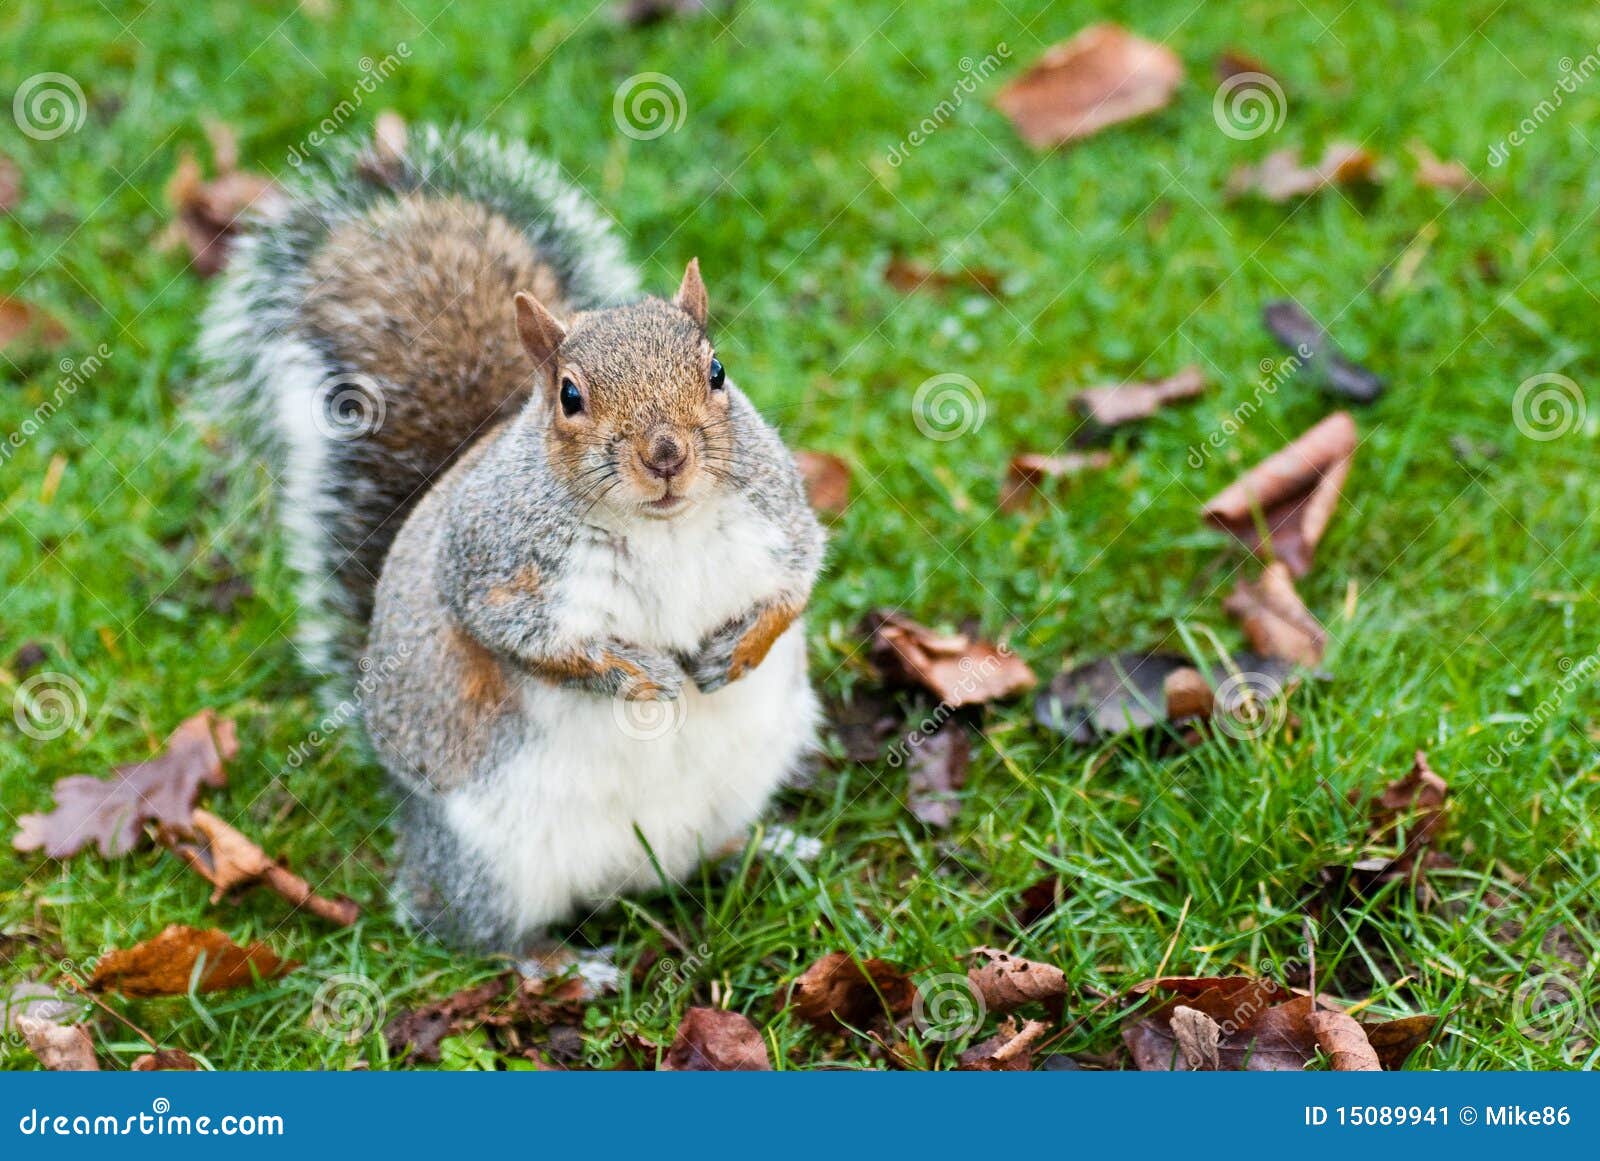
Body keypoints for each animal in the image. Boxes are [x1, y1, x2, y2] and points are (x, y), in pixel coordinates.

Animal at [199, 125, 824, 950]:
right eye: (570, 395)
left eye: (717, 370)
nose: (666, 454)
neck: (661, 525)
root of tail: (632, 878)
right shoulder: (495, 570)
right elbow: (533, 642)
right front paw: (638, 673)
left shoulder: (777, 518)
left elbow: (796, 582)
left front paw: (740, 649)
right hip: (490, 861)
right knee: (465, 929)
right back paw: (552, 961)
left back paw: (769, 847)